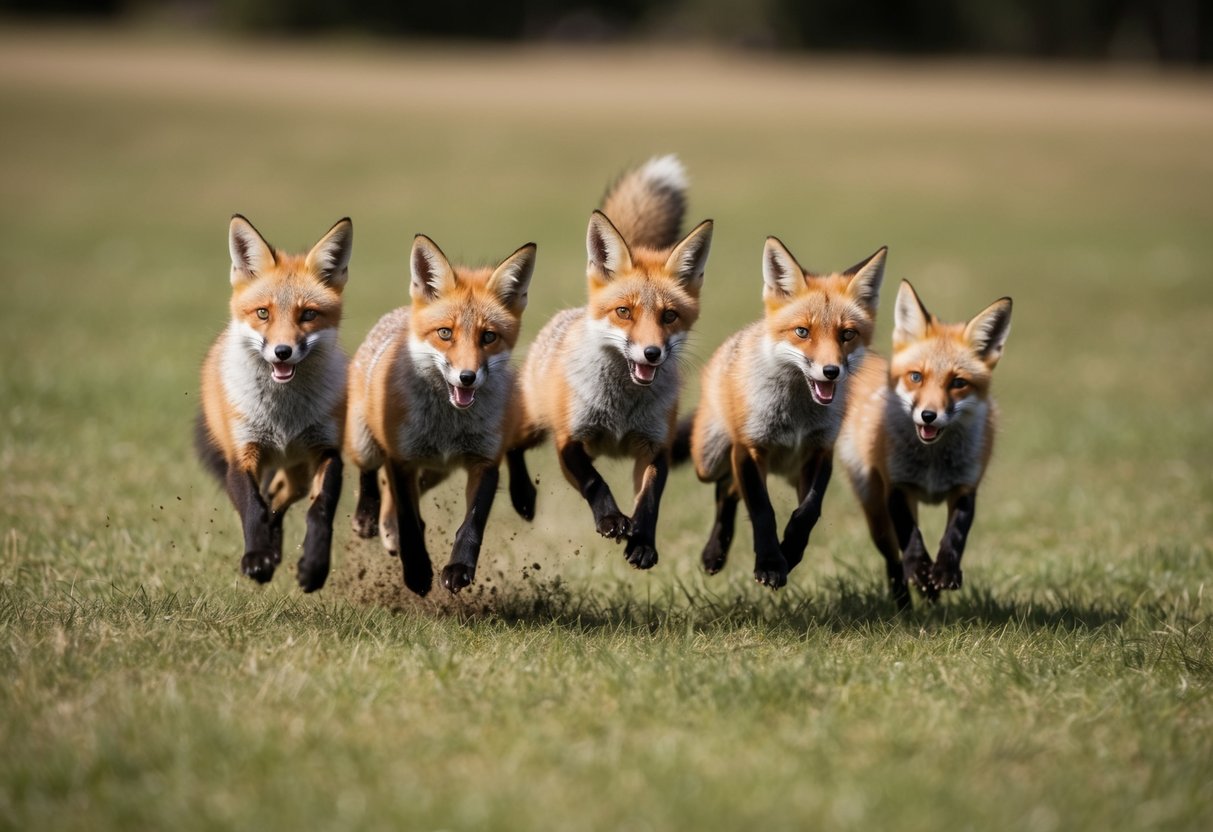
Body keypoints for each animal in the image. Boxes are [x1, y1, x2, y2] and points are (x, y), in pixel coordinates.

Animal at [196, 215, 352, 591]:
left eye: (308, 315)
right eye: (263, 313)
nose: (283, 352)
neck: (283, 417)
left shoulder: (327, 451)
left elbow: (320, 510)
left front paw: (314, 566)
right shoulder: (242, 454)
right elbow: (254, 508)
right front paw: (257, 559)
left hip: (298, 472)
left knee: (278, 496)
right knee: (267, 501)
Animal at [345, 234, 536, 596]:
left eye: (488, 336)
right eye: (445, 333)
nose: (467, 377)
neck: (448, 425)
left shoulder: (484, 461)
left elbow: (472, 524)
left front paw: (459, 569)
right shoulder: (401, 459)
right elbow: (409, 521)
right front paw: (418, 573)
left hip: (436, 471)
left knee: (393, 494)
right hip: (366, 443)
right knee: (371, 476)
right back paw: (366, 518)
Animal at [506, 155, 713, 571]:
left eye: (669, 316)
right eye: (624, 312)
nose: (652, 353)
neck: (621, 409)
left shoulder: (655, 445)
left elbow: (649, 499)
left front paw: (642, 543)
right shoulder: (569, 440)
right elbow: (594, 481)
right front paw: (611, 519)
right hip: (534, 421)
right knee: (511, 446)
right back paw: (522, 499)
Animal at [686, 238, 886, 589]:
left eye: (847, 335)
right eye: (802, 332)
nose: (831, 371)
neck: (796, 416)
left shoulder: (820, 450)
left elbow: (808, 512)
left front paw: (789, 553)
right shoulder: (750, 448)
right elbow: (762, 510)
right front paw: (769, 564)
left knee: (730, 489)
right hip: (708, 459)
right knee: (724, 488)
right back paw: (714, 553)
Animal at [837, 280, 1012, 608]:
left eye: (958, 383)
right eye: (916, 377)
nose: (929, 416)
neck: (932, 461)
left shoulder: (965, 487)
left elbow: (955, 535)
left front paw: (943, 572)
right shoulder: (897, 486)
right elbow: (912, 537)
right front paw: (921, 571)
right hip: (875, 513)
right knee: (893, 560)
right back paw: (904, 603)